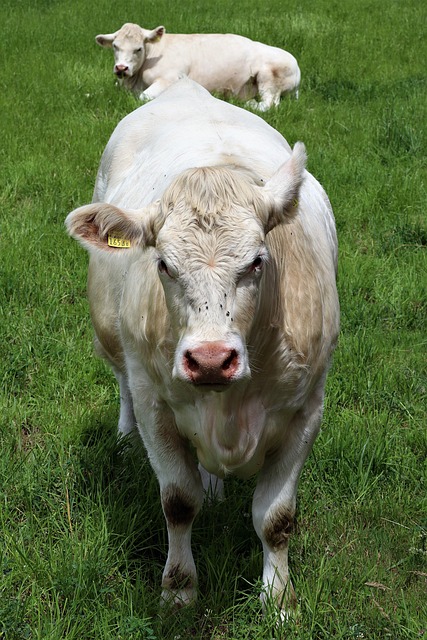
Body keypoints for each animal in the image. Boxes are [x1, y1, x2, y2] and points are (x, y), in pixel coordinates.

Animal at [66, 77, 339, 618]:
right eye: (163, 265)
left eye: (257, 261)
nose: (211, 359)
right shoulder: (155, 404)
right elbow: (178, 501)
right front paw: (179, 590)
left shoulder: (307, 410)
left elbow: (276, 516)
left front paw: (279, 599)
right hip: (115, 342)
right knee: (122, 382)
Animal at [95, 22, 301, 111]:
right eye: (115, 46)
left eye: (138, 49)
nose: (121, 68)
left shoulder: (171, 77)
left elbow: (144, 97)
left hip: (269, 77)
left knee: (269, 104)